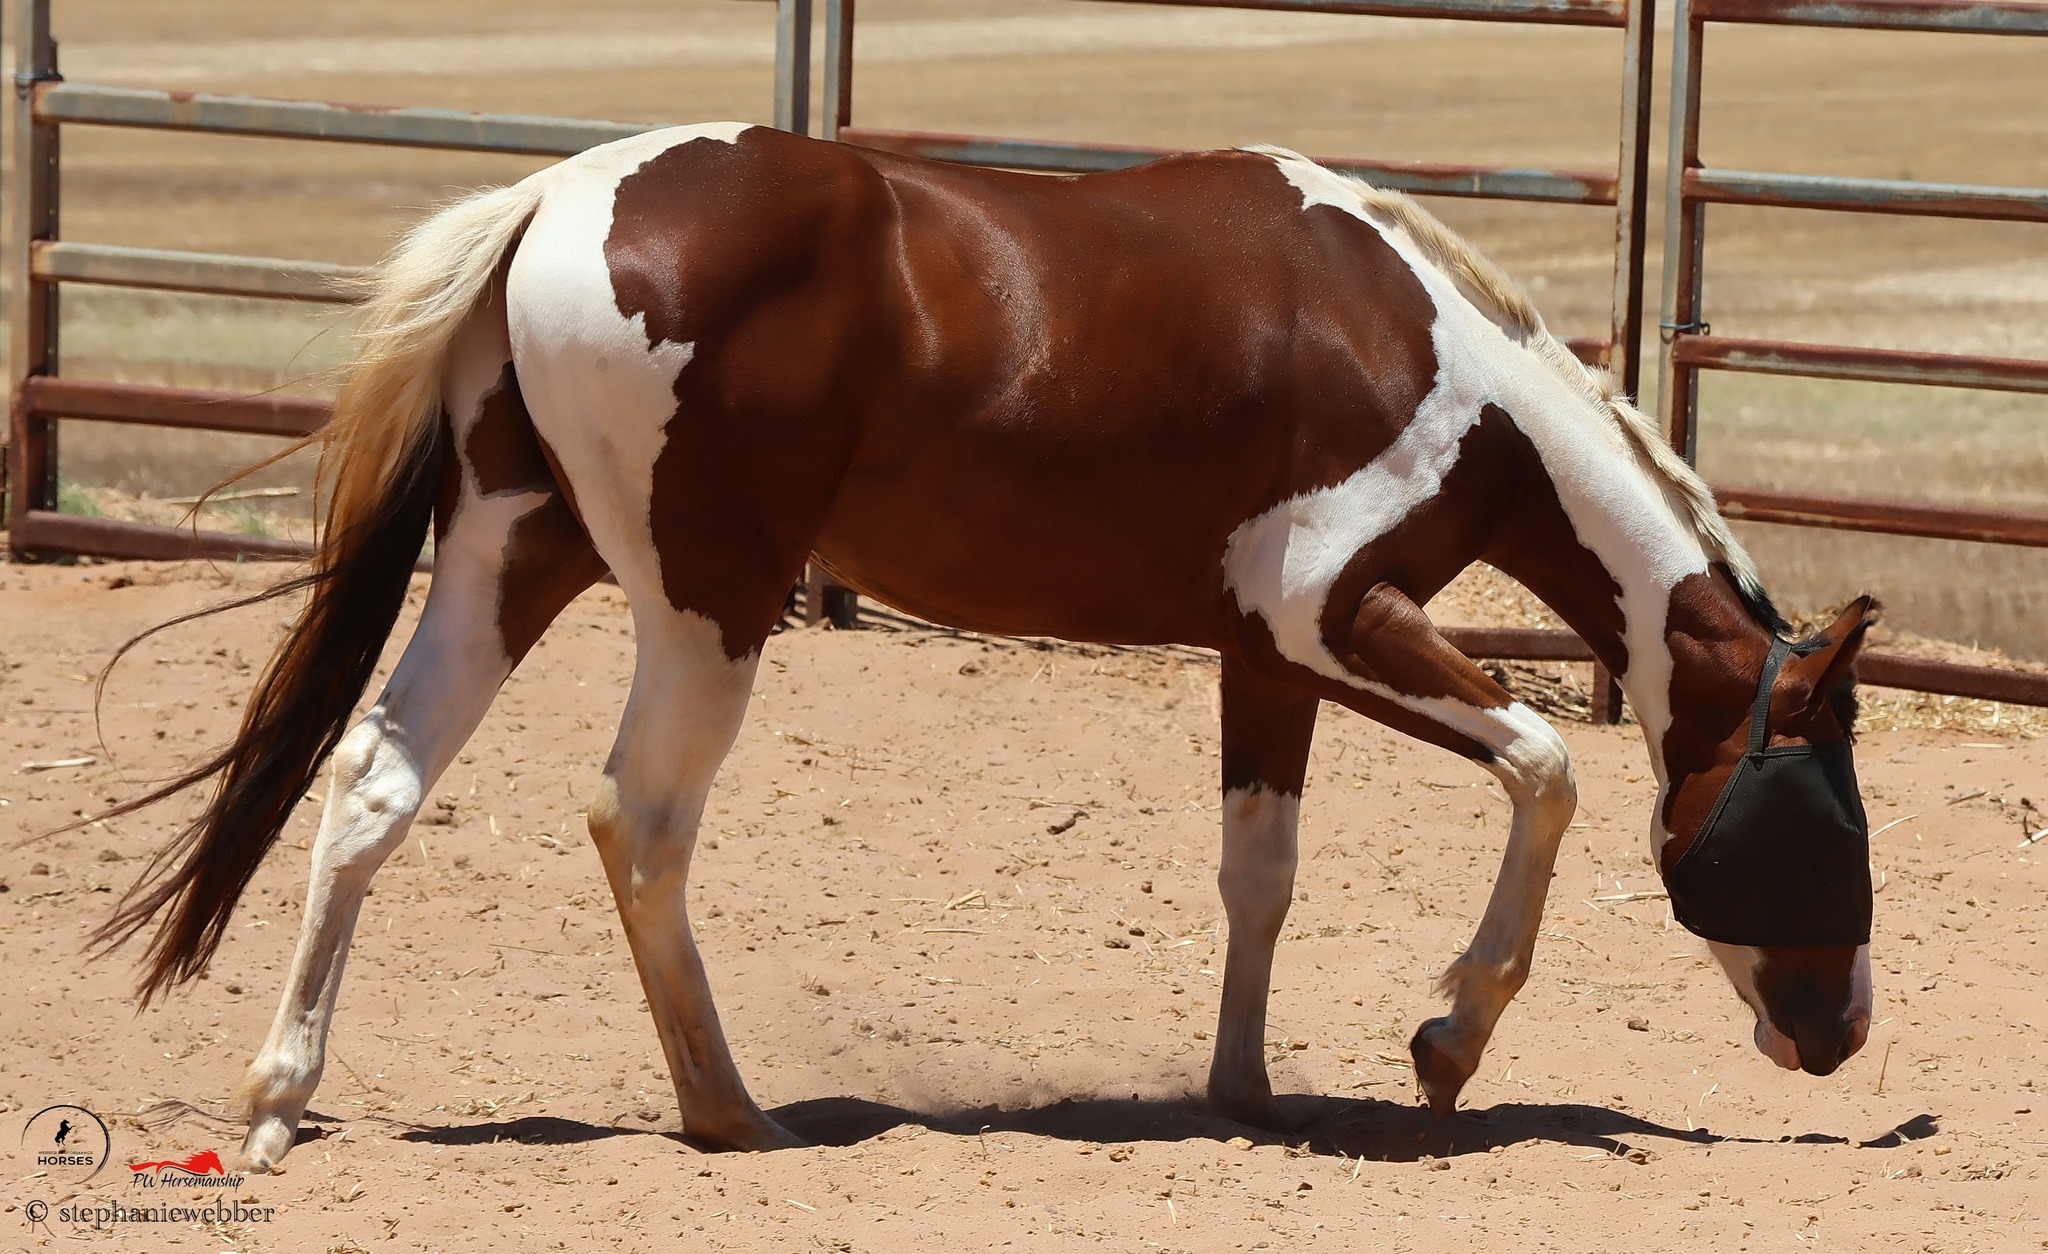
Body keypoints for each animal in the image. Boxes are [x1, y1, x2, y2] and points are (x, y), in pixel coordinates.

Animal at [93, 122, 1877, 1165]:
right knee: (639, 817)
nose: (1842, 1034)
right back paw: (727, 1108)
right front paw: (1449, 1036)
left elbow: (1261, 869)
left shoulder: (1263, 656)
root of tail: (554, 199)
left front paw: (1246, 1088)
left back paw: (280, 1095)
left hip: (511, 555)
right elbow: (1549, 763)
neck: (1427, 358)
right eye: (1831, 833)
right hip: (702, 598)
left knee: (374, 782)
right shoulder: (1331, 613)